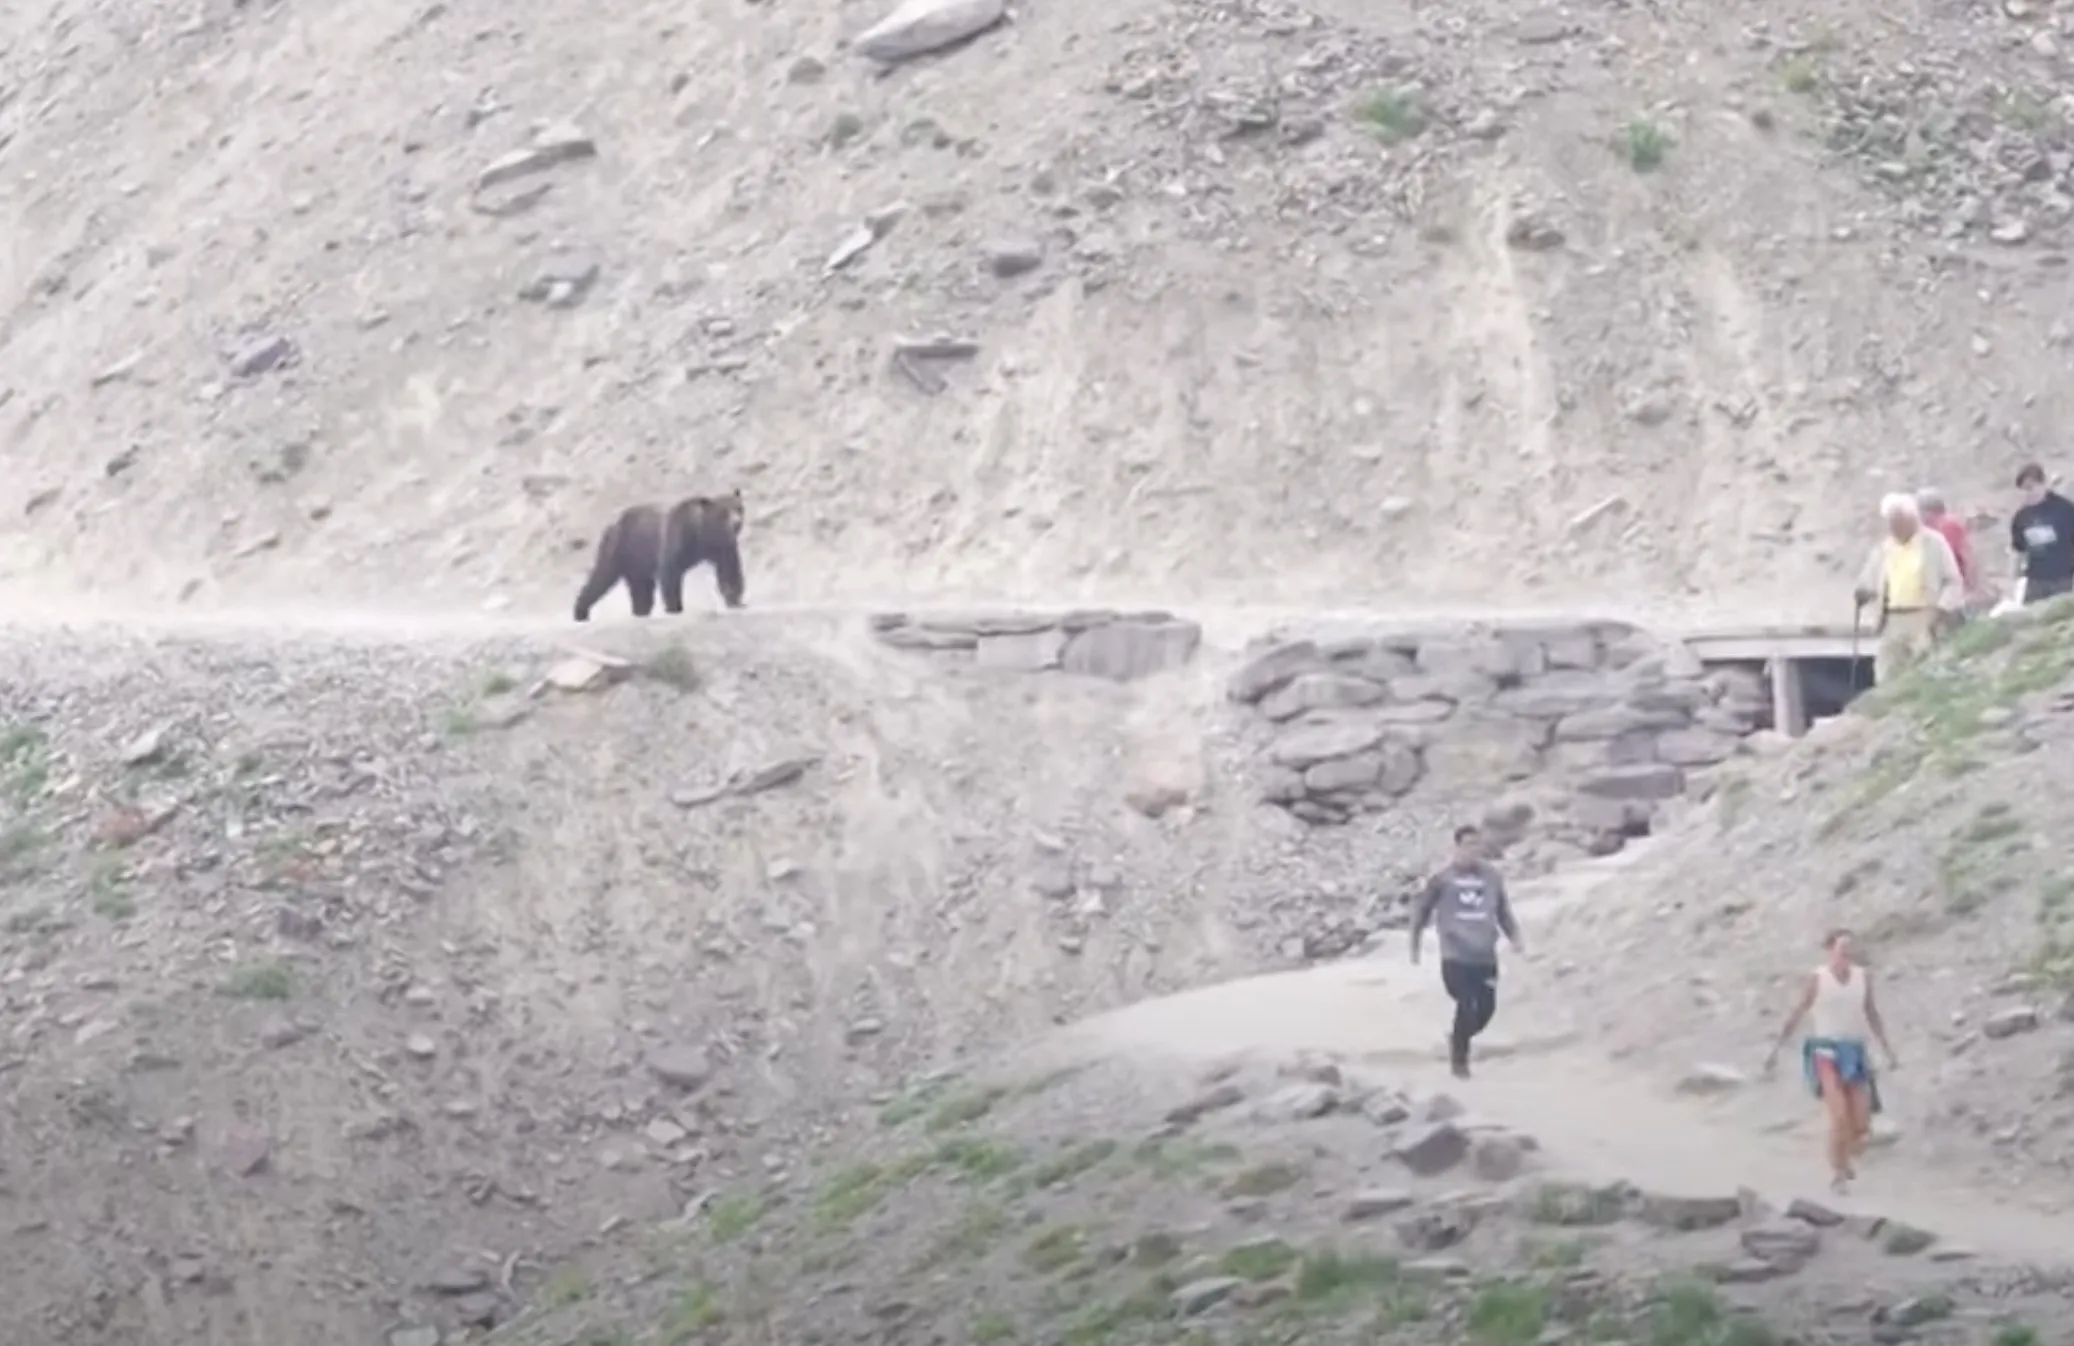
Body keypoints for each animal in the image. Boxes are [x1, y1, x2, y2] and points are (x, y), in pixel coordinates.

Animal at [572, 489, 746, 622]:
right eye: (723, 512)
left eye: (739, 508)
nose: (736, 523)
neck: (703, 535)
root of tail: (611, 524)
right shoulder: (677, 537)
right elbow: (670, 573)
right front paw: (675, 607)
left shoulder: (722, 547)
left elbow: (730, 571)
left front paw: (736, 601)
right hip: (619, 547)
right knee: (601, 576)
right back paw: (581, 612)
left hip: (637, 561)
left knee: (641, 590)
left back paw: (640, 612)